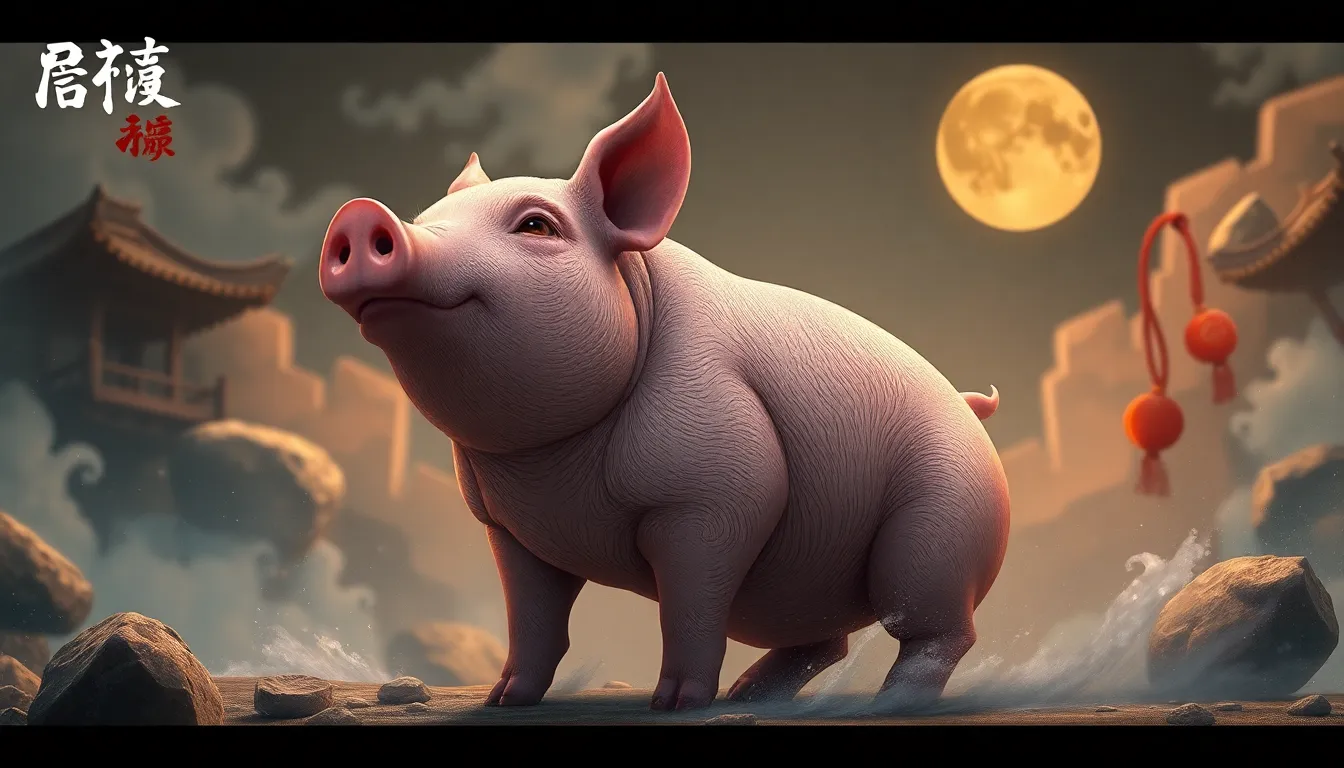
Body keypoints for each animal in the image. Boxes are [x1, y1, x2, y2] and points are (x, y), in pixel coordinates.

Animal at [319, 72, 1010, 712]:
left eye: (537, 226)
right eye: (425, 219)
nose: (359, 213)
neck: (549, 467)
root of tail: (970, 408)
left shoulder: (715, 488)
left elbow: (690, 607)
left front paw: (673, 704)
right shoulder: (506, 523)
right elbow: (534, 619)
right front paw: (503, 700)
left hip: (945, 516)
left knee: (936, 627)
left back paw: (889, 703)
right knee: (826, 639)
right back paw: (750, 695)